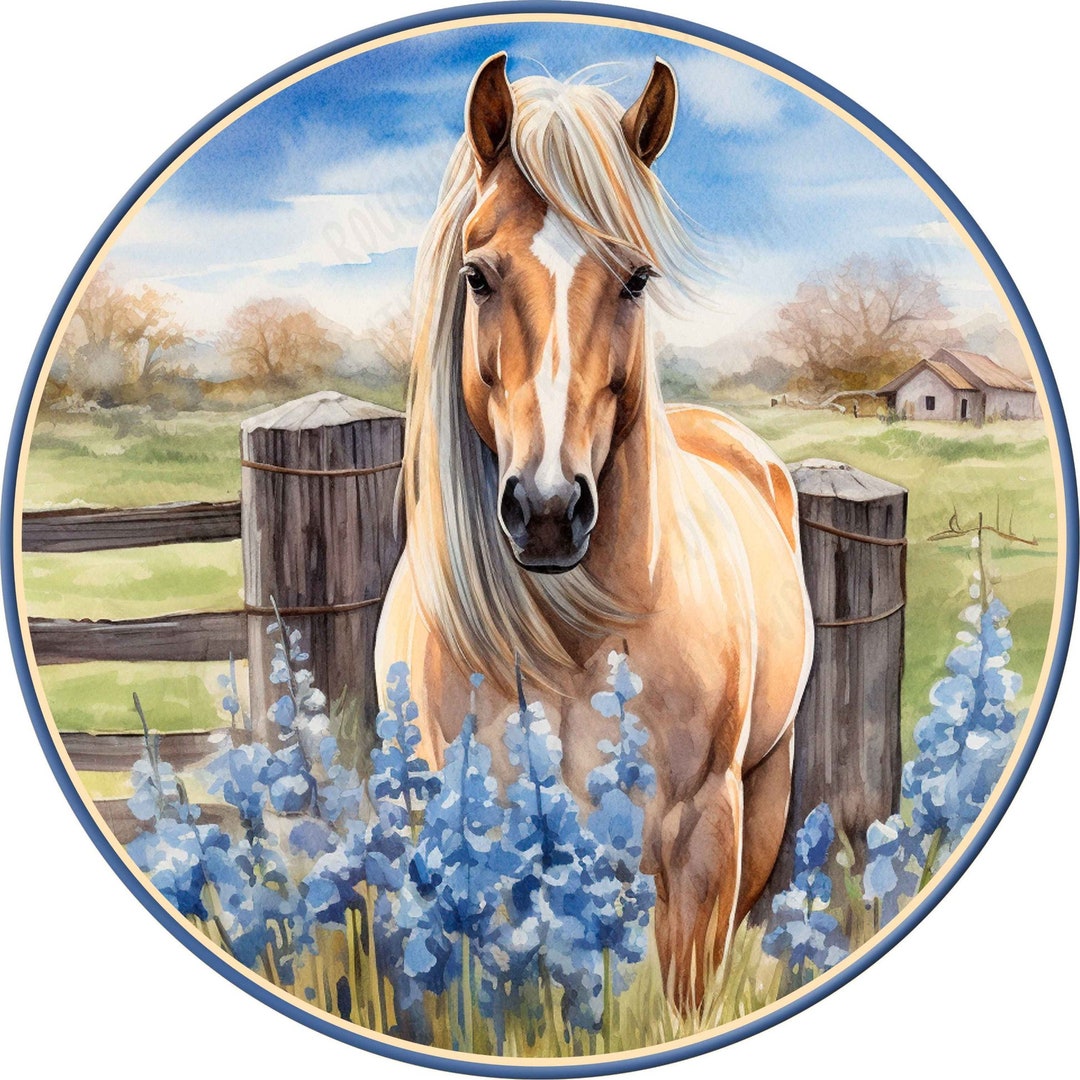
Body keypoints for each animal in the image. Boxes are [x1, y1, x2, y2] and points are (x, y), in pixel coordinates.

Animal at [375, 52, 813, 1009]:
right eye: (477, 275)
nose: (546, 510)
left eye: (637, 278)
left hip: (763, 796)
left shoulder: (701, 838)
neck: (569, 639)